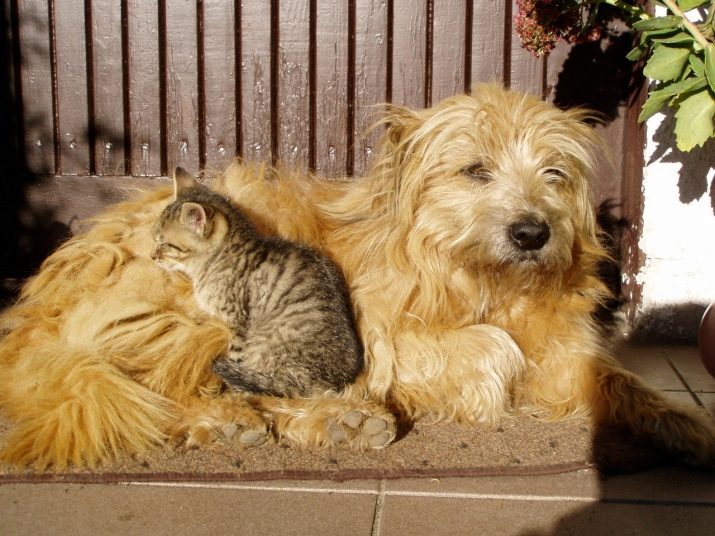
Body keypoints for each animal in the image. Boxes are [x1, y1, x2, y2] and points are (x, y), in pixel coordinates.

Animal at [151, 169, 364, 398]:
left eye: (165, 243)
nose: (152, 256)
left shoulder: (238, 322)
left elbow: (236, 355)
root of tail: (327, 386)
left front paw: (231, 392)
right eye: (156, 240)